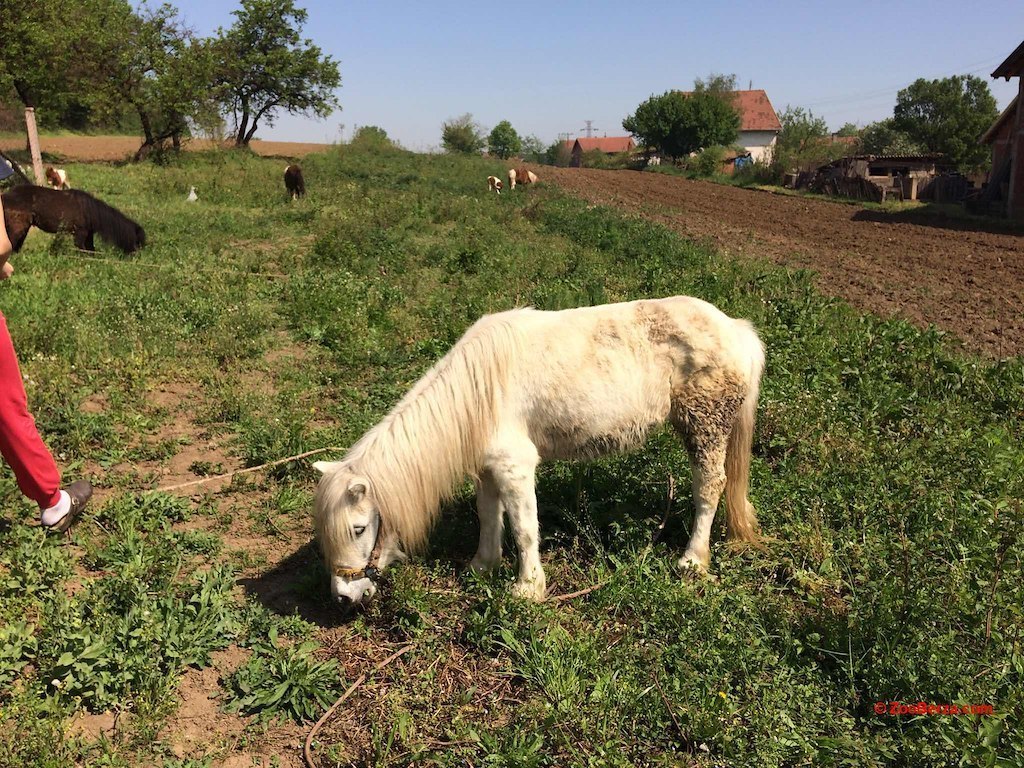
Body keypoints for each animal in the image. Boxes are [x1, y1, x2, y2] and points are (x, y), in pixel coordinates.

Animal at [1, 185, 146, 253]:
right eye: (137, 242)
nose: (139, 256)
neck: (90, 211)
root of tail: (5, 196)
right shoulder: (80, 233)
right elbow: (82, 249)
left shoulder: (88, 234)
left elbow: (91, 250)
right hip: (18, 228)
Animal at [315, 296, 765, 610]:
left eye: (358, 528)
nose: (342, 597)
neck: (478, 391)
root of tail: (736, 330)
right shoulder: (488, 470)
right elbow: (489, 517)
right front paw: (483, 566)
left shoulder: (515, 467)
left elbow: (524, 527)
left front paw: (528, 588)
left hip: (705, 426)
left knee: (710, 487)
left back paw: (692, 560)